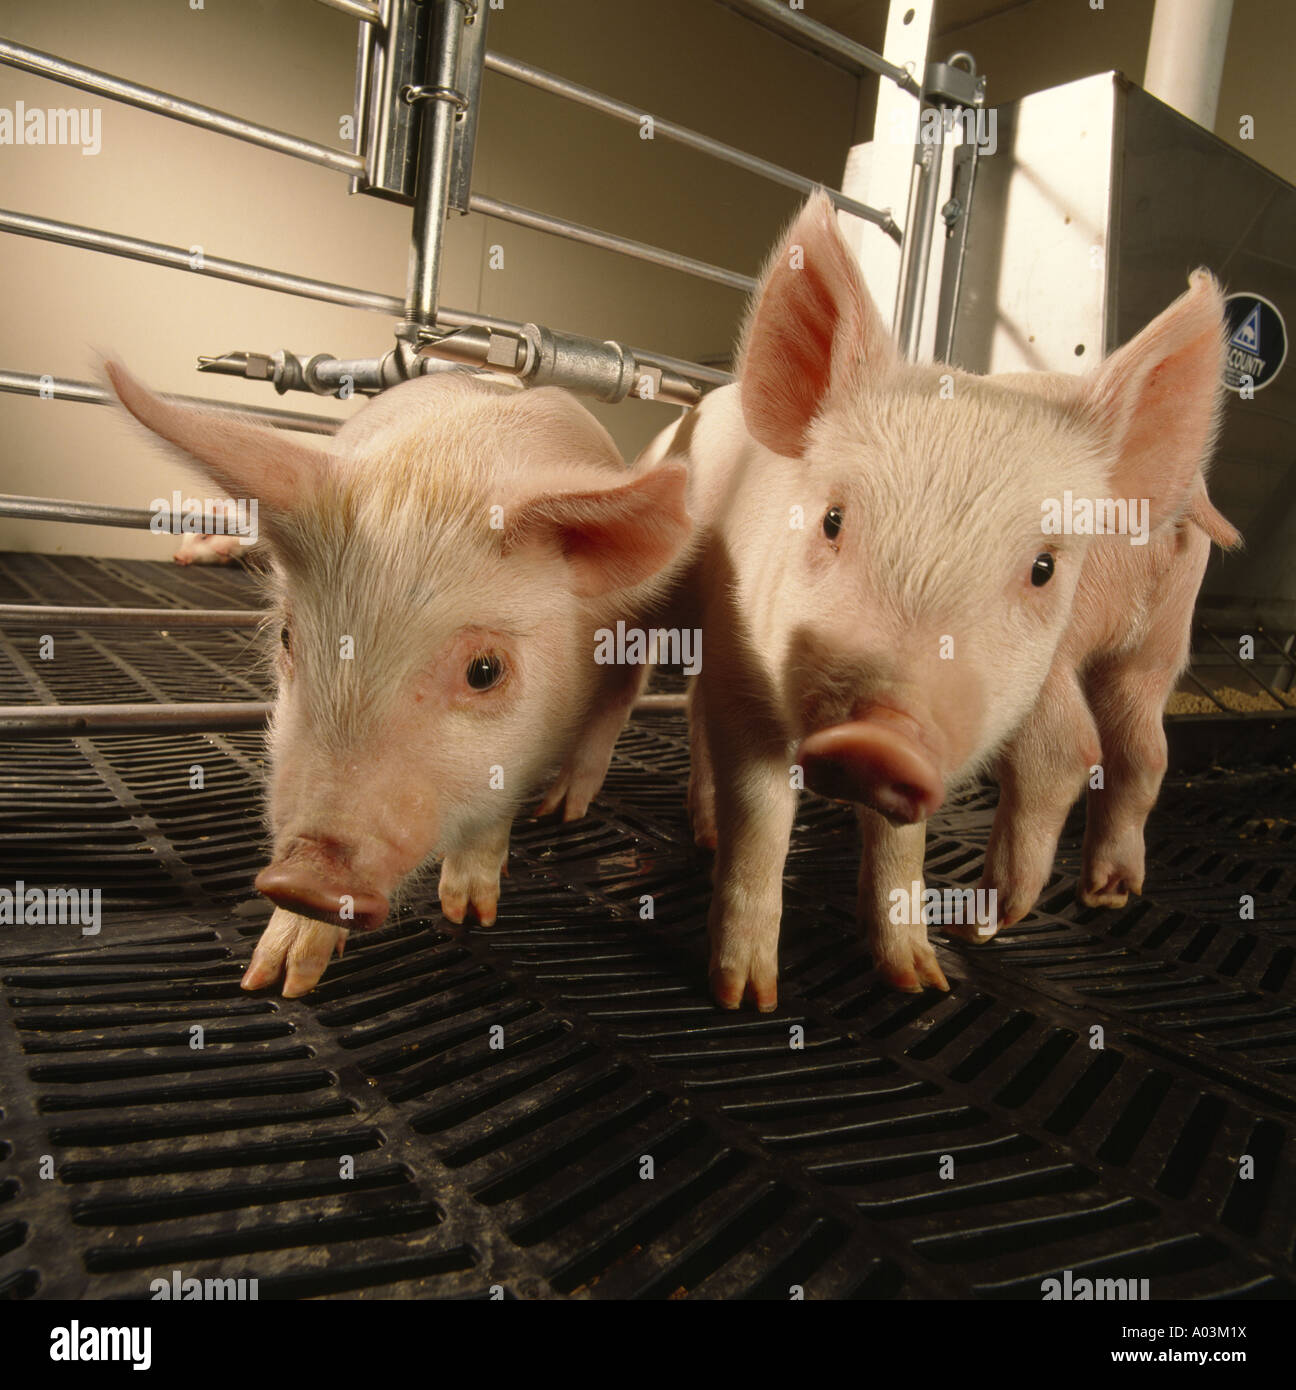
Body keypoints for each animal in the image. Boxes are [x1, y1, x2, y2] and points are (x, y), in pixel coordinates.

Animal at [106, 363, 692, 994]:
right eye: (287, 638)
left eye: (485, 670)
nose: (305, 877)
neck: (450, 460)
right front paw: (275, 981)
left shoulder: (537, 729)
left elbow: (496, 805)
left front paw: (471, 913)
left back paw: (561, 810)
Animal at [645, 191, 1237, 1011]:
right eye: (833, 520)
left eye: (1043, 567)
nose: (881, 735)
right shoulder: (742, 671)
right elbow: (760, 826)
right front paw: (746, 1000)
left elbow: (901, 844)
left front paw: (920, 983)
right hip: (1151, 647)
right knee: (1132, 746)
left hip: (1113, 651)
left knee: (1088, 747)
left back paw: (1006, 919)